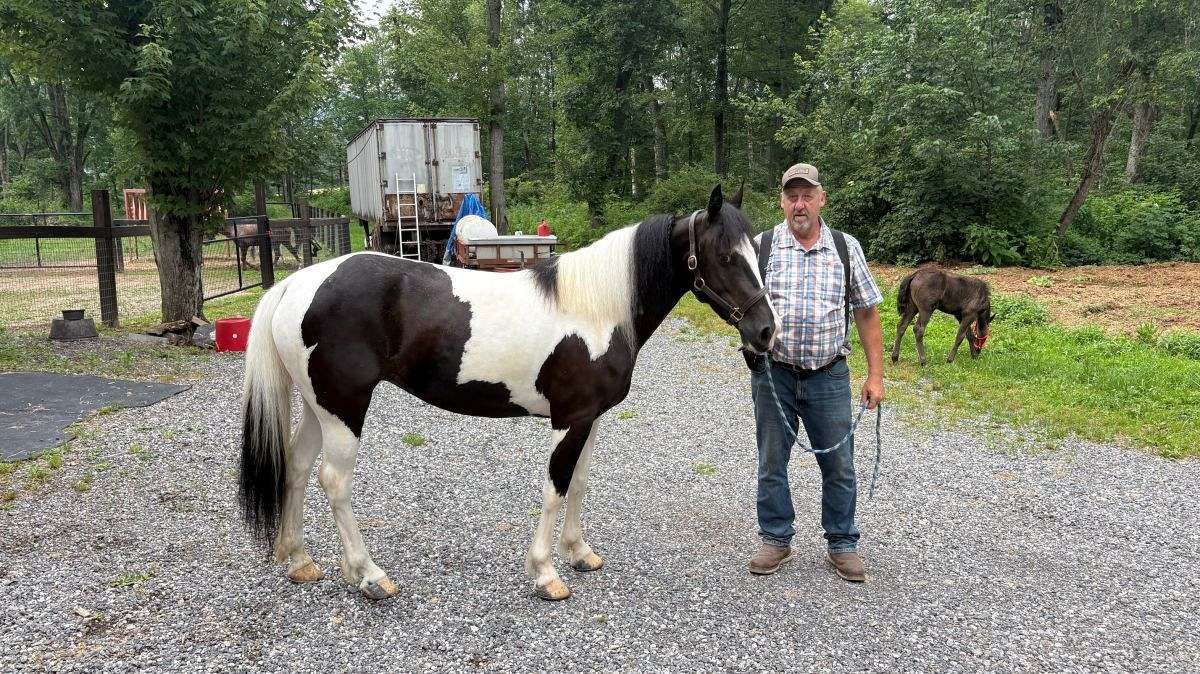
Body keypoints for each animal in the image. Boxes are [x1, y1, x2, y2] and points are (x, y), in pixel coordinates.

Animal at [237, 185, 780, 601]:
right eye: (726, 256)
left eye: (756, 251)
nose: (767, 331)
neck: (596, 310)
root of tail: (295, 285)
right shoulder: (569, 419)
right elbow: (555, 488)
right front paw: (546, 573)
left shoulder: (590, 418)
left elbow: (579, 483)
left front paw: (579, 553)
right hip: (344, 408)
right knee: (333, 481)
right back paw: (369, 576)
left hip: (319, 407)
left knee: (297, 467)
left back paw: (299, 560)